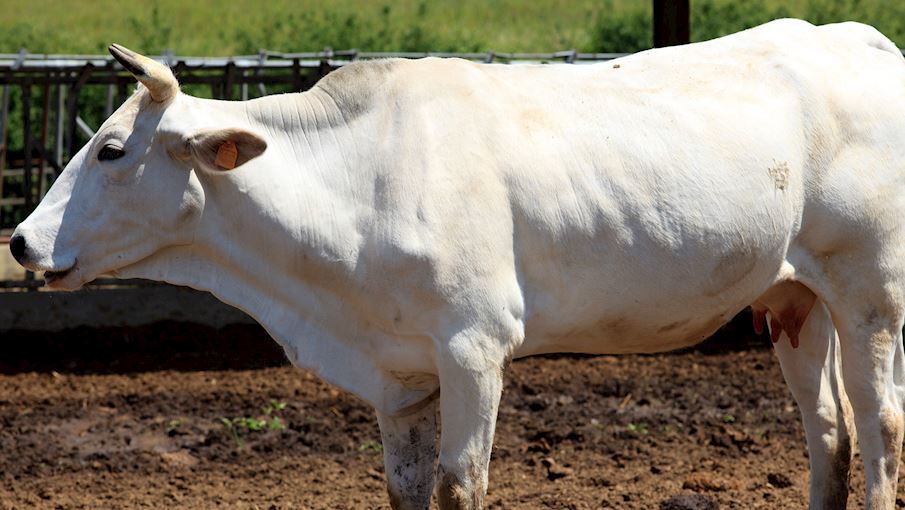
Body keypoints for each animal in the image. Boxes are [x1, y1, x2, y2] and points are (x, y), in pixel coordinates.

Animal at [9, 19, 905, 509]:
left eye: (111, 149)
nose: (19, 241)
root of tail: (849, 37)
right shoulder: (398, 373)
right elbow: (405, 487)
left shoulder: (475, 348)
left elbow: (458, 484)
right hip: (793, 300)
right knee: (829, 429)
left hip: (870, 291)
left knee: (880, 421)